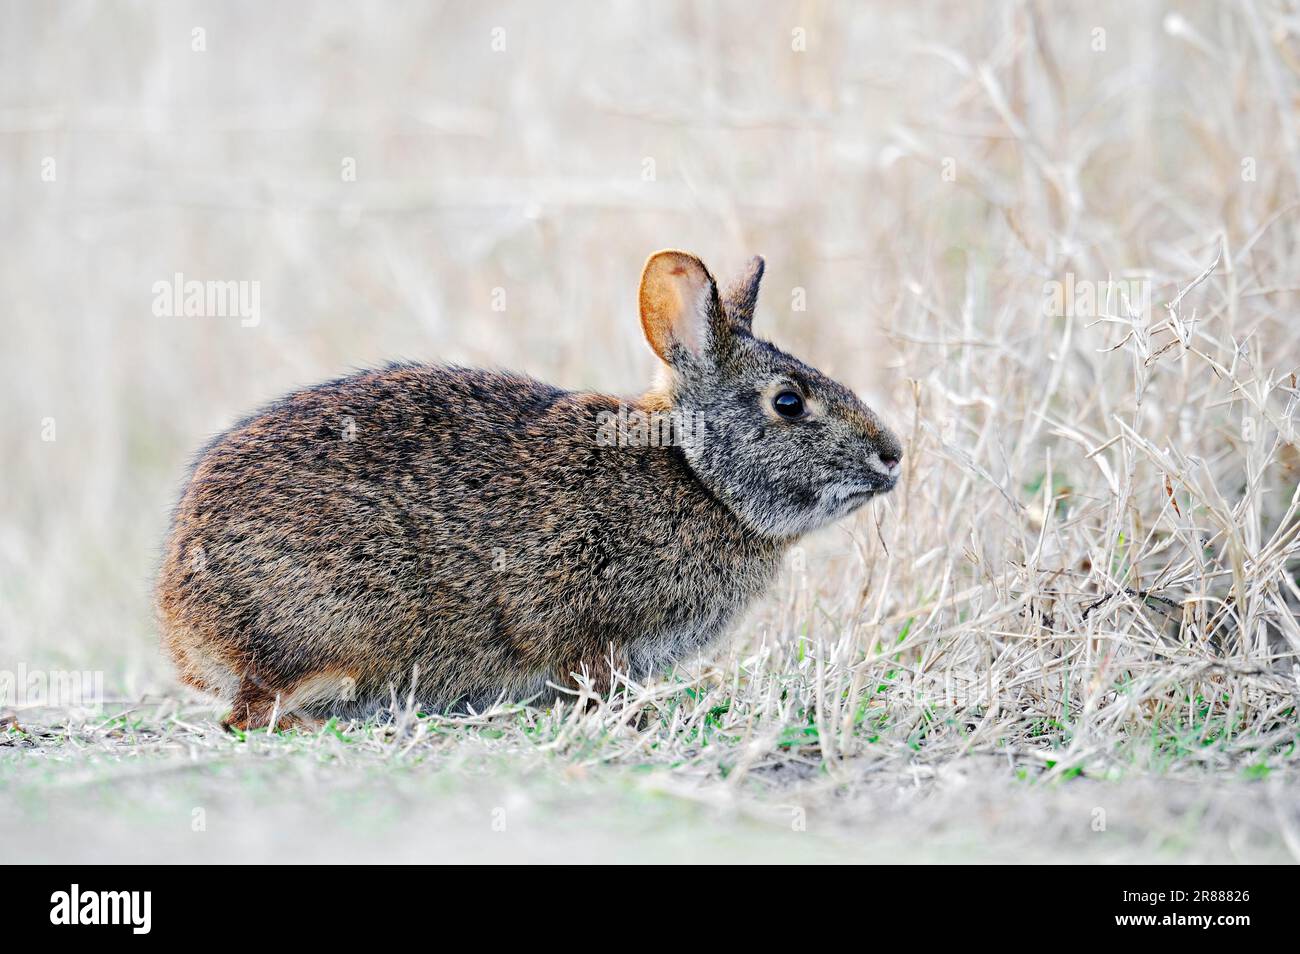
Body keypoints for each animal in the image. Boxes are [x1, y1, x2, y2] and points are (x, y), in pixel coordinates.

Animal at [155, 250, 903, 730]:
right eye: (788, 403)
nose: (893, 456)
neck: (696, 475)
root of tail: (185, 624)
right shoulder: (595, 626)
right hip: (334, 631)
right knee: (251, 712)